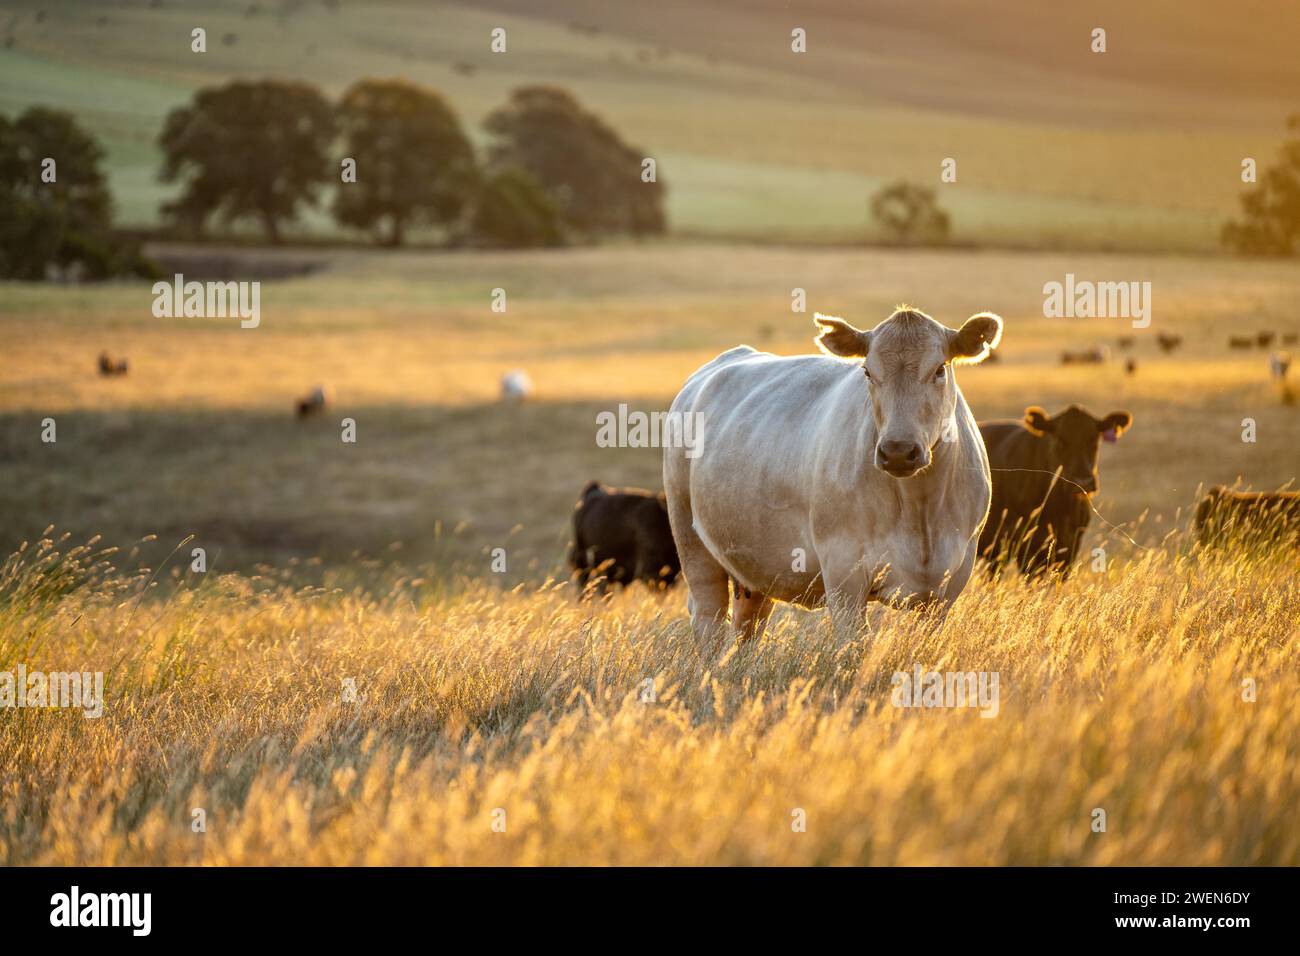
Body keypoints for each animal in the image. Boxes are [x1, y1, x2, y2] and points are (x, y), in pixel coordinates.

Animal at [663, 306, 1002, 651]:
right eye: (867, 372)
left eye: (939, 369)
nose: (897, 451)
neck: (920, 510)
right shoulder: (843, 574)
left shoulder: (949, 584)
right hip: (691, 540)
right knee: (708, 620)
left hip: (755, 567)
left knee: (747, 627)